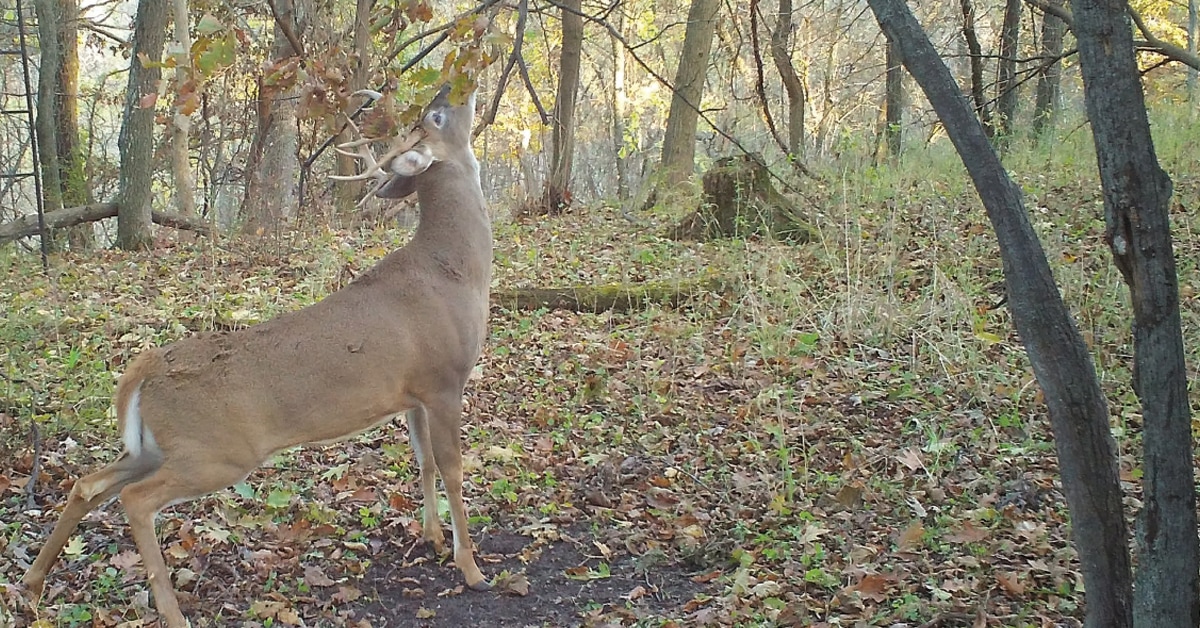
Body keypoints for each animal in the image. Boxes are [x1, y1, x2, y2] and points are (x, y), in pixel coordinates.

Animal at [21, 85, 493, 627]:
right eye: (437, 115)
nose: (458, 88)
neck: (455, 270)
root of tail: (142, 371)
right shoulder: (444, 380)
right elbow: (453, 469)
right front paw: (470, 568)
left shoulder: (413, 394)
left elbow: (424, 463)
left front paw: (433, 538)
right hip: (217, 453)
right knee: (135, 499)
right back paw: (171, 612)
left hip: (154, 447)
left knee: (89, 483)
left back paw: (32, 583)